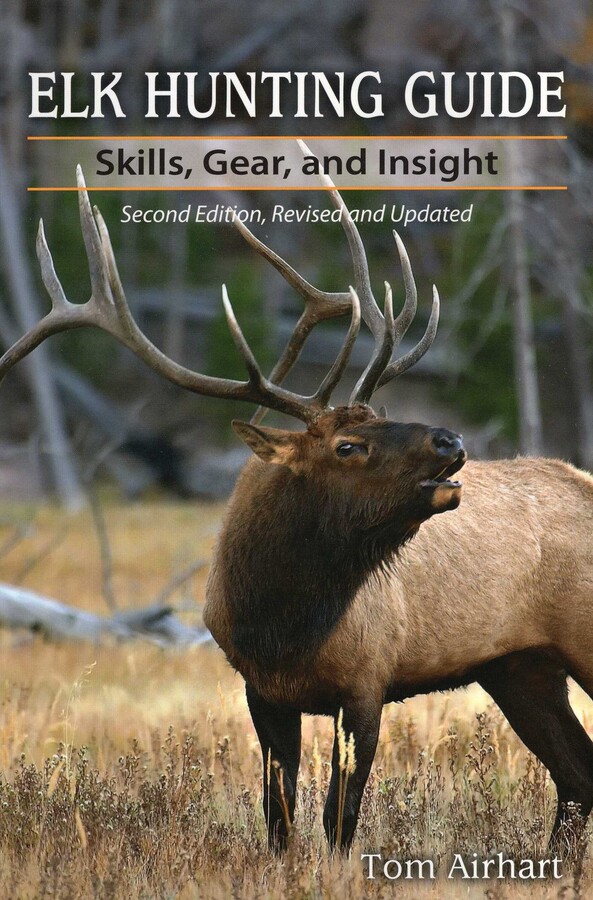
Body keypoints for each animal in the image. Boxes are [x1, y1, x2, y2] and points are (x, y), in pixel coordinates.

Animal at [2, 162, 593, 860]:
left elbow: (340, 818)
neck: (286, 622)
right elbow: (278, 814)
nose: (451, 441)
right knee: (577, 775)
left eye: (382, 415)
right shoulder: (262, 689)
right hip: (520, 665)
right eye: (348, 444)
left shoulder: (366, 684)